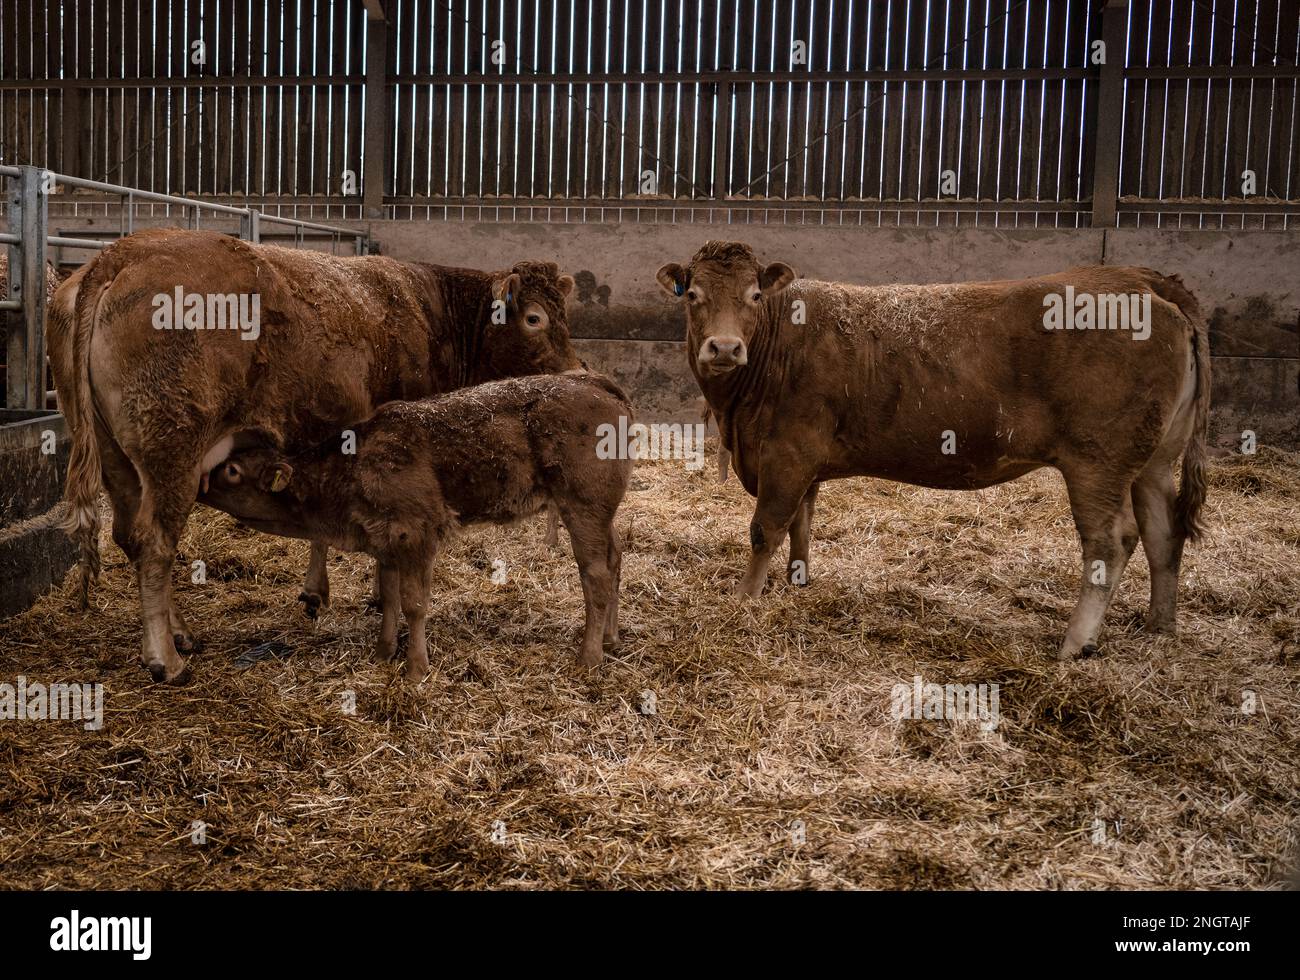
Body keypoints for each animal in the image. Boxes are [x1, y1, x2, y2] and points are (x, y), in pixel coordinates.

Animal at [47, 228, 583, 683]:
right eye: (534, 318)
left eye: (567, 315)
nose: (578, 372)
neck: (432, 313)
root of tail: (125, 251)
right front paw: (370, 595)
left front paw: (318, 593)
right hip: (172, 450)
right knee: (156, 542)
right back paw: (166, 658)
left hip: (117, 460)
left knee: (130, 536)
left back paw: (180, 634)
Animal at [199, 374, 632, 678]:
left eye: (233, 471)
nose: (200, 481)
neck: (352, 467)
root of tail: (593, 381)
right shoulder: (385, 541)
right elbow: (390, 597)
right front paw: (383, 651)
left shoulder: (417, 535)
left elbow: (414, 602)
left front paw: (415, 667)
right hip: (601, 514)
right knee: (615, 561)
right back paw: (610, 638)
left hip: (583, 508)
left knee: (595, 576)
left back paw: (589, 656)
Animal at [656, 241, 1210, 661]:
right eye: (694, 295)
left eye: (753, 294)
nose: (724, 348)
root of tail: (1140, 277)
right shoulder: (803, 464)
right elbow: (802, 525)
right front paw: (796, 585)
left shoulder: (787, 455)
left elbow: (765, 529)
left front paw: (745, 600)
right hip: (1155, 460)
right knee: (1163, 534)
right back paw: (1160, 626)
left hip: (1098, 462)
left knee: (1110, 542)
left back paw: (1074, 644)